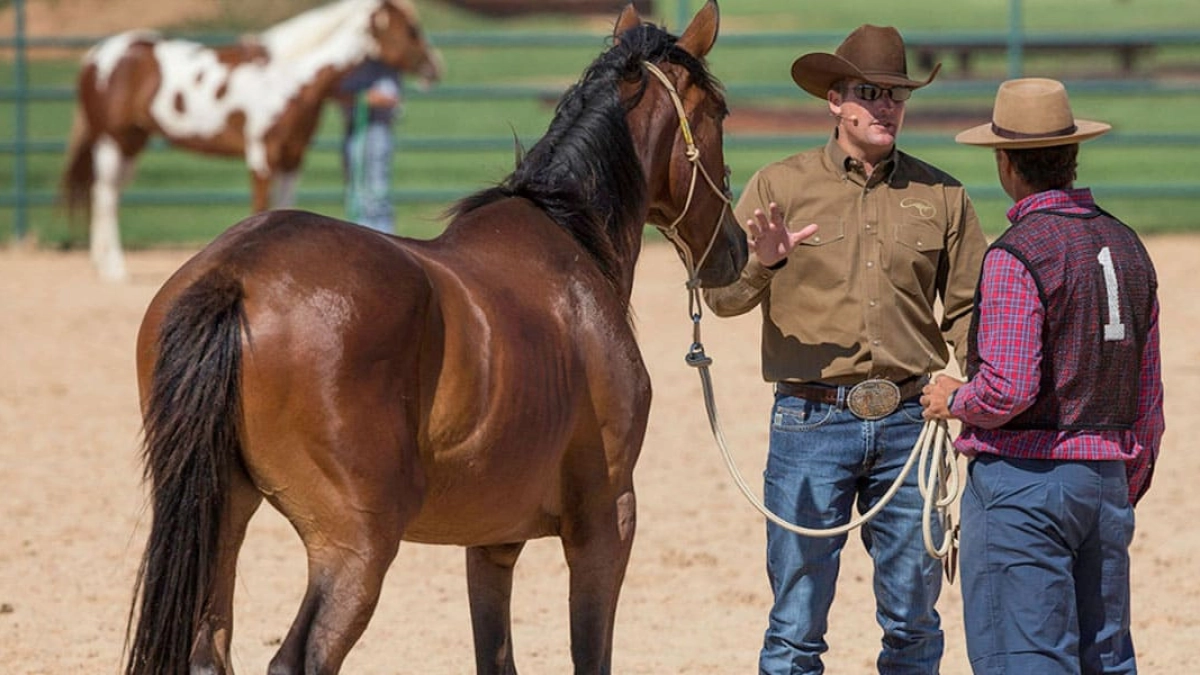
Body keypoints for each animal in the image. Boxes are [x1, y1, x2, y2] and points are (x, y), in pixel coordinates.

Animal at [61, 0, 443, 282]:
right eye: (411, 29)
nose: (435, 68)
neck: (289, 77)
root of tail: (96, 56)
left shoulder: (293, 158)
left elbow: (285, 207)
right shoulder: (262, 156)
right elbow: (261, 207)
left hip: (132, 144)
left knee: (105, 193)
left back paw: (102, 264)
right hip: (112, 141)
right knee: (105, 195)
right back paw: (115, 270)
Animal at [124, 1, 743, 673]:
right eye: (719, 113)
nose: (735, 249)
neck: (570, 235)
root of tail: (236, 274)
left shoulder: (494, 539)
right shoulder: (606, 520)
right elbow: (589, 652)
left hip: (219, 516)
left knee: (209, 648)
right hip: (355, 548)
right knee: (299, 656)